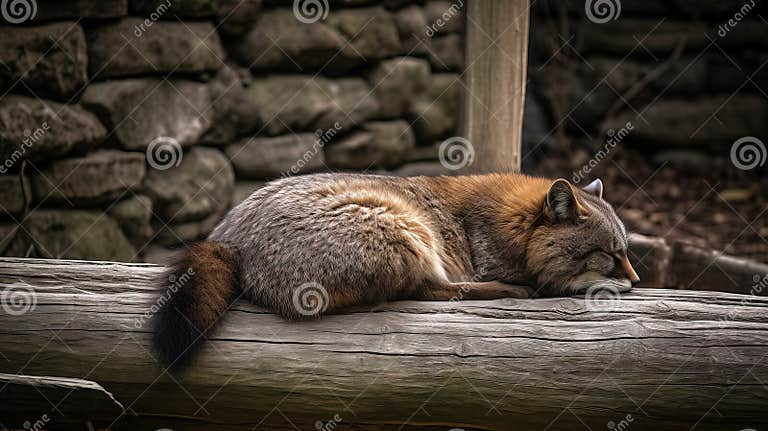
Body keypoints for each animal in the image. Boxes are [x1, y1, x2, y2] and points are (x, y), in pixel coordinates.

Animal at [151, 173, 640, 368]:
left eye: (627, 252)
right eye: (609, 254)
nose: (636, 283)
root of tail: (229, 237)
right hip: (408, 230)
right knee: (430, 292)